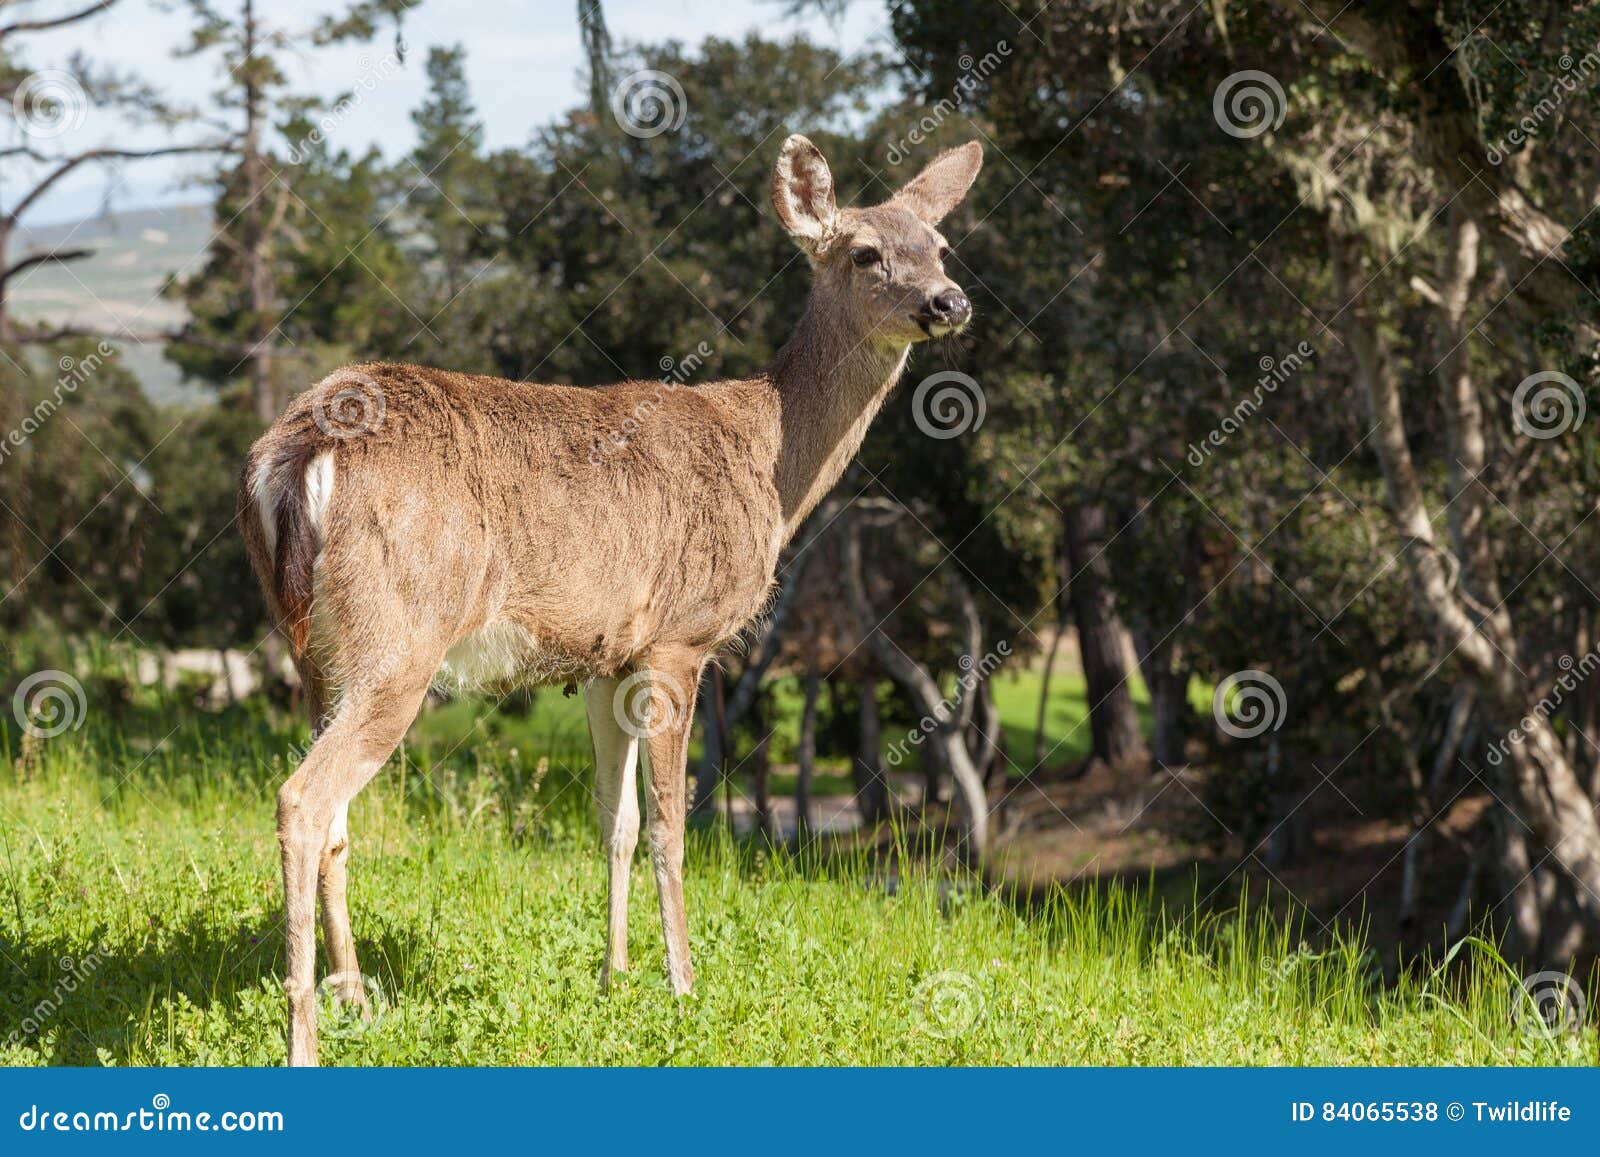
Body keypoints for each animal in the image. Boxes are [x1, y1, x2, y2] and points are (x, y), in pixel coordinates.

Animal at [238, 133, 982, 1065]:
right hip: (401, 634)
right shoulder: (680, 637)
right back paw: (305, 1036)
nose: (949, 301)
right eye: (865, 252)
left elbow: (615, 818)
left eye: (942, 245)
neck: (771, 465)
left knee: (333, 809)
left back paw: (357, 997)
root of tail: (297, 449)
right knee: (303, 799)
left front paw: (613, 976)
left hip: (316, 646)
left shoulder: (604, 655)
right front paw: (685, 985)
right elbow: (673, 821)